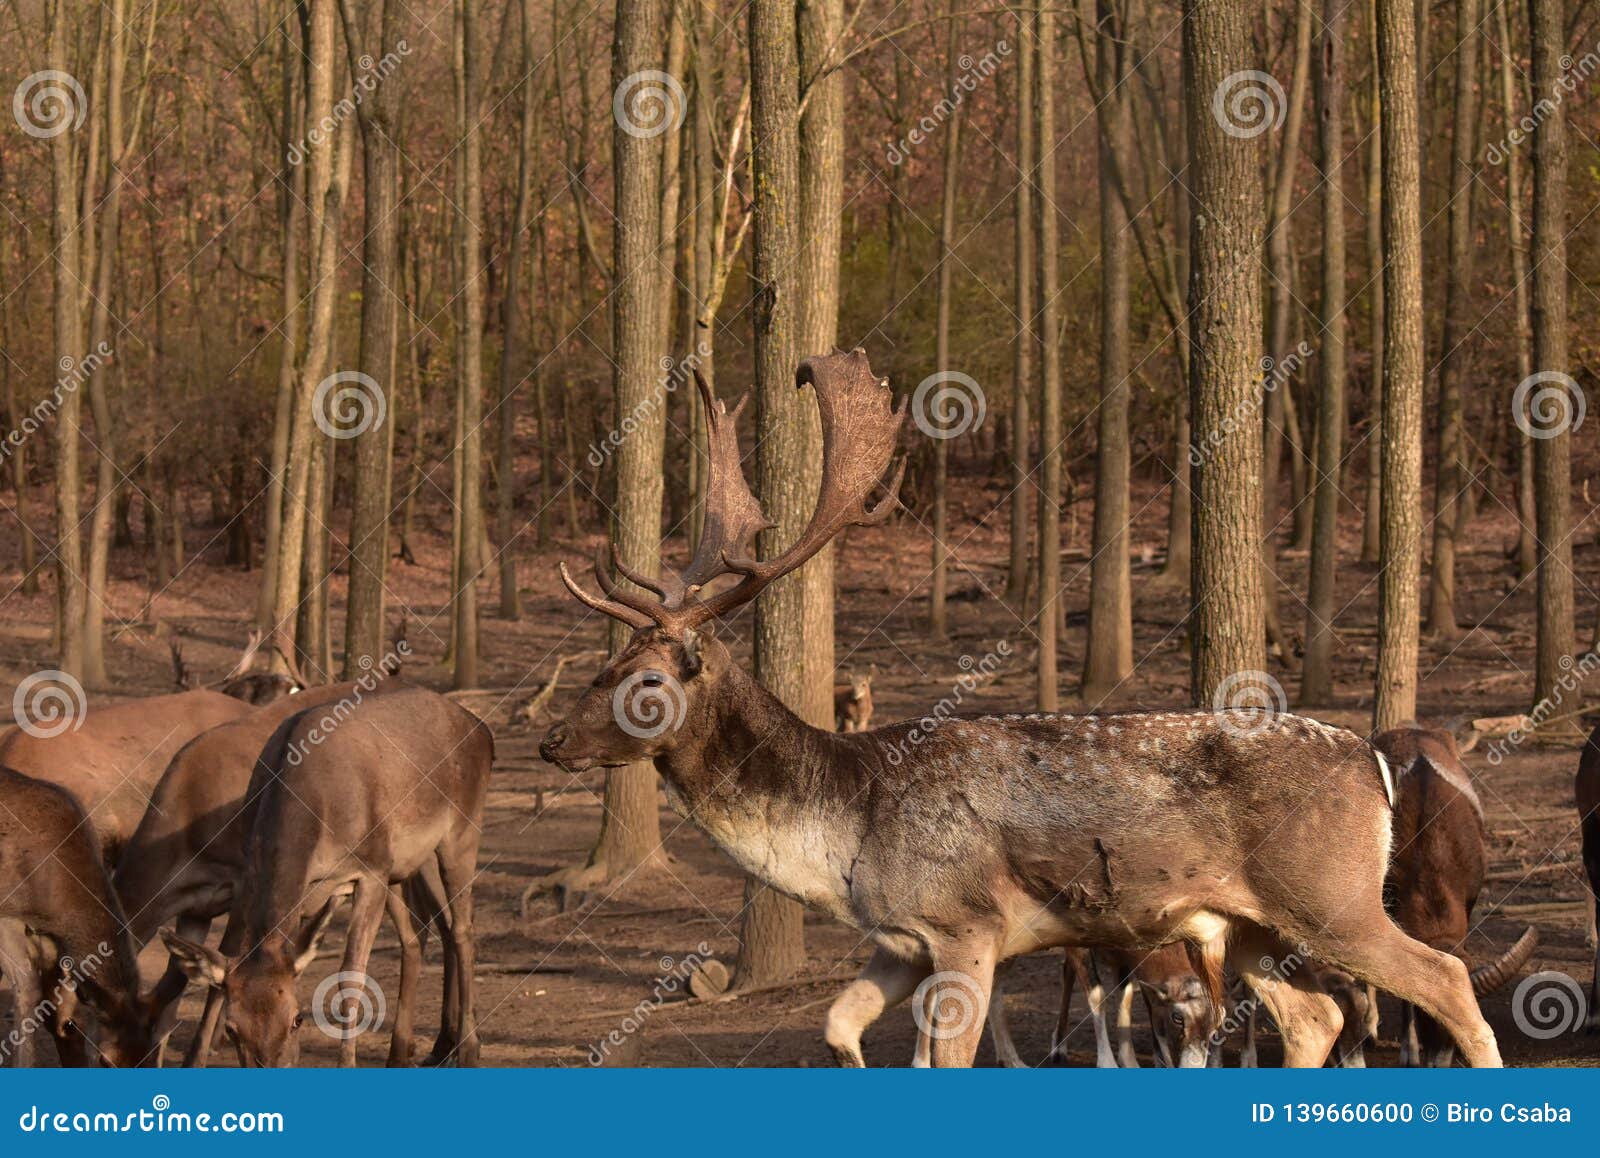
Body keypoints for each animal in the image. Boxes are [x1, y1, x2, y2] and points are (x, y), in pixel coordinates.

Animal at [162, 684, 491, 1067]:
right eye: (232, 1029)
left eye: (297, 1019)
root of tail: (481, 728)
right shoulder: (258, 878)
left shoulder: (371, 869)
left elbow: (351, 979)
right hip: (408, 863)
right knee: (420, 934)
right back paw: (410, 1052)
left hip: (462, 830)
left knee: (462, 928)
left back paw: (468, 1048)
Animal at [539, 350, 1503, 1068]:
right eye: (602, 660)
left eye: (648, 681)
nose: (550, 739)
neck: (844, 830)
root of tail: (1373, 764)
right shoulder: (899, 943)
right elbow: (839, 1025)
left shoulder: (967, 923)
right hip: (1252, 923)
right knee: (1318, 1018)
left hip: (1331, 896)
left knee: (1446, 981)